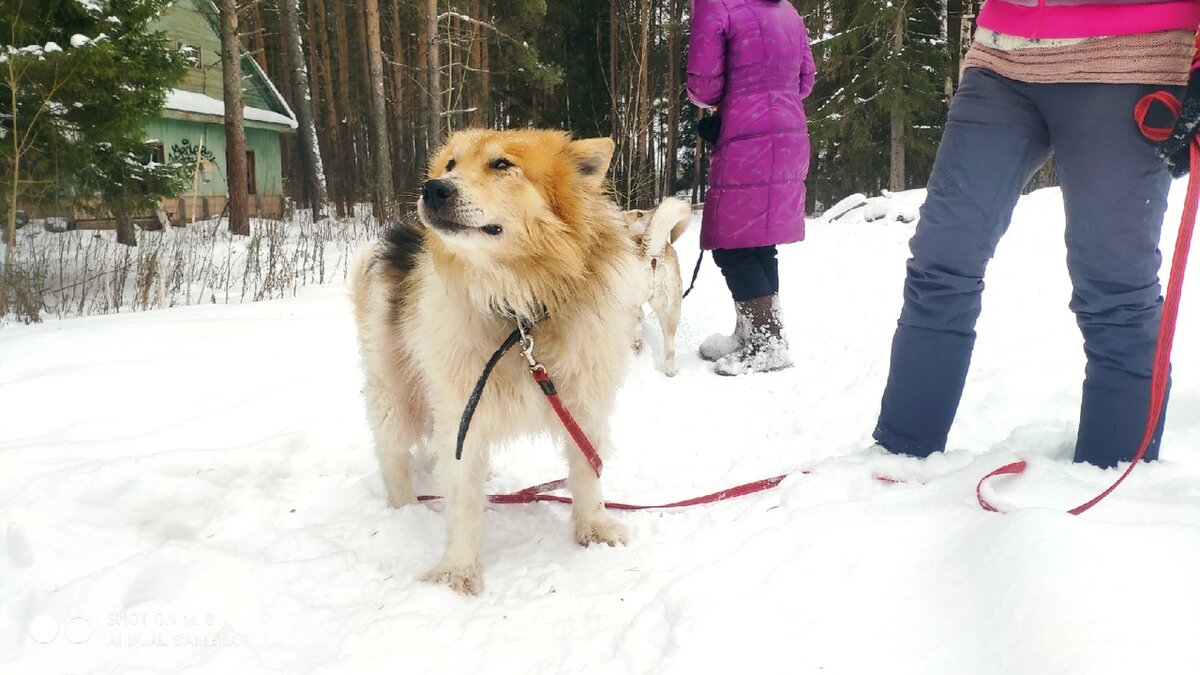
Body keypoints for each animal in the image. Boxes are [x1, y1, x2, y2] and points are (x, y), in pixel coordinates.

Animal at [350, 128, 648, 590]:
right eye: (451, 165)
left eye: (502, 164)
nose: (433, 188)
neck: (518, 309)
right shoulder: (462, 411)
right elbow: (463, 498)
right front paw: (456, 571)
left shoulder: (583, 406)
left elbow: (587, 473)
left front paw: (593, 529)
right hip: (396, 392)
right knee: (392, 452)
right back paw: (405, 508)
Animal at [624, 196, 691, 374]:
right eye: (639, 214)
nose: (655, 208)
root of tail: (653, 255)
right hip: (669, 311)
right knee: (670, 349)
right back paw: (669, 371)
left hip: (632, 303)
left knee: (637, 322)